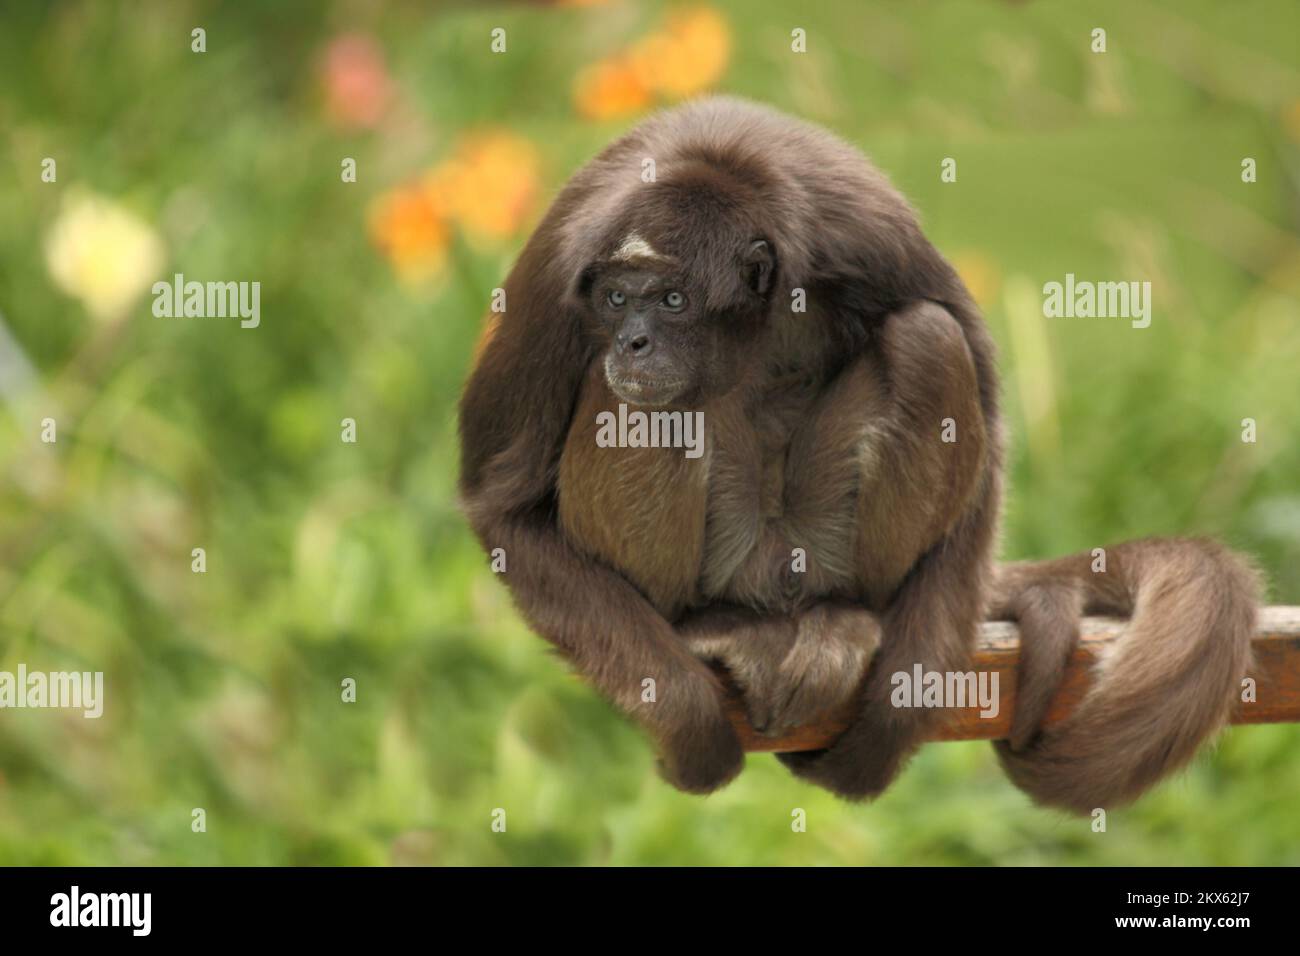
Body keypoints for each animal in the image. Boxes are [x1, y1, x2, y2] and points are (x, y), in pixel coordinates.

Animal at [458, 96, 1260, 814]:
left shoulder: (863, 229)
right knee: (637, 400)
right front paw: (688, 721)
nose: (632, 342)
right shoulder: (559, 269)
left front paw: (898, 714)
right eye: (619, 300)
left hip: (821, 549)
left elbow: (987, 432)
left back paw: (848, 619)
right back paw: (712, 624)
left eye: (673, 301)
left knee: (927, 337)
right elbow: (502, 512)